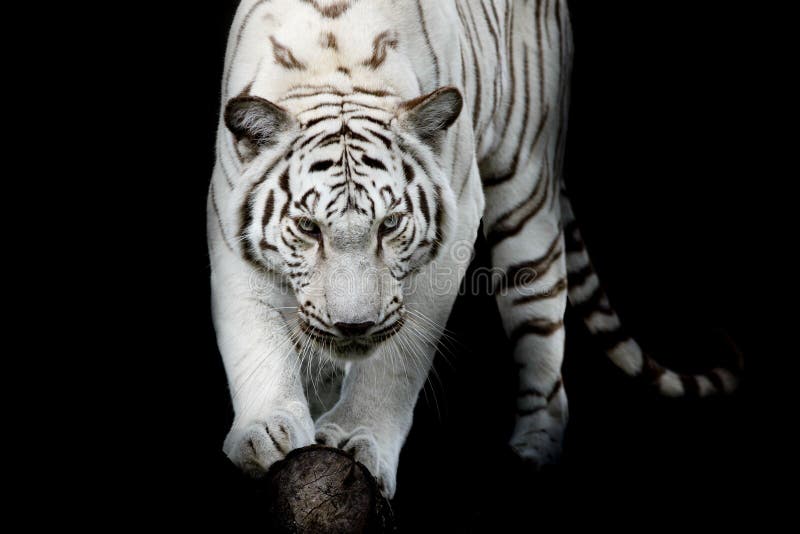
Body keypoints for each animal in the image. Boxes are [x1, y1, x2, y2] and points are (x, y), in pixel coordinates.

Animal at [208, 0, 740, 498]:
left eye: (390, 224)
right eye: (307, 227)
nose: (354, 326)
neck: (333, 64)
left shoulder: (458, 220)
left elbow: (396, 362)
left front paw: (357, 437)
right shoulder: (228, 220)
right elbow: (255, 334)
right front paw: (267, 433)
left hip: (528, 194)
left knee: (544, 339)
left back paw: (536, 450)